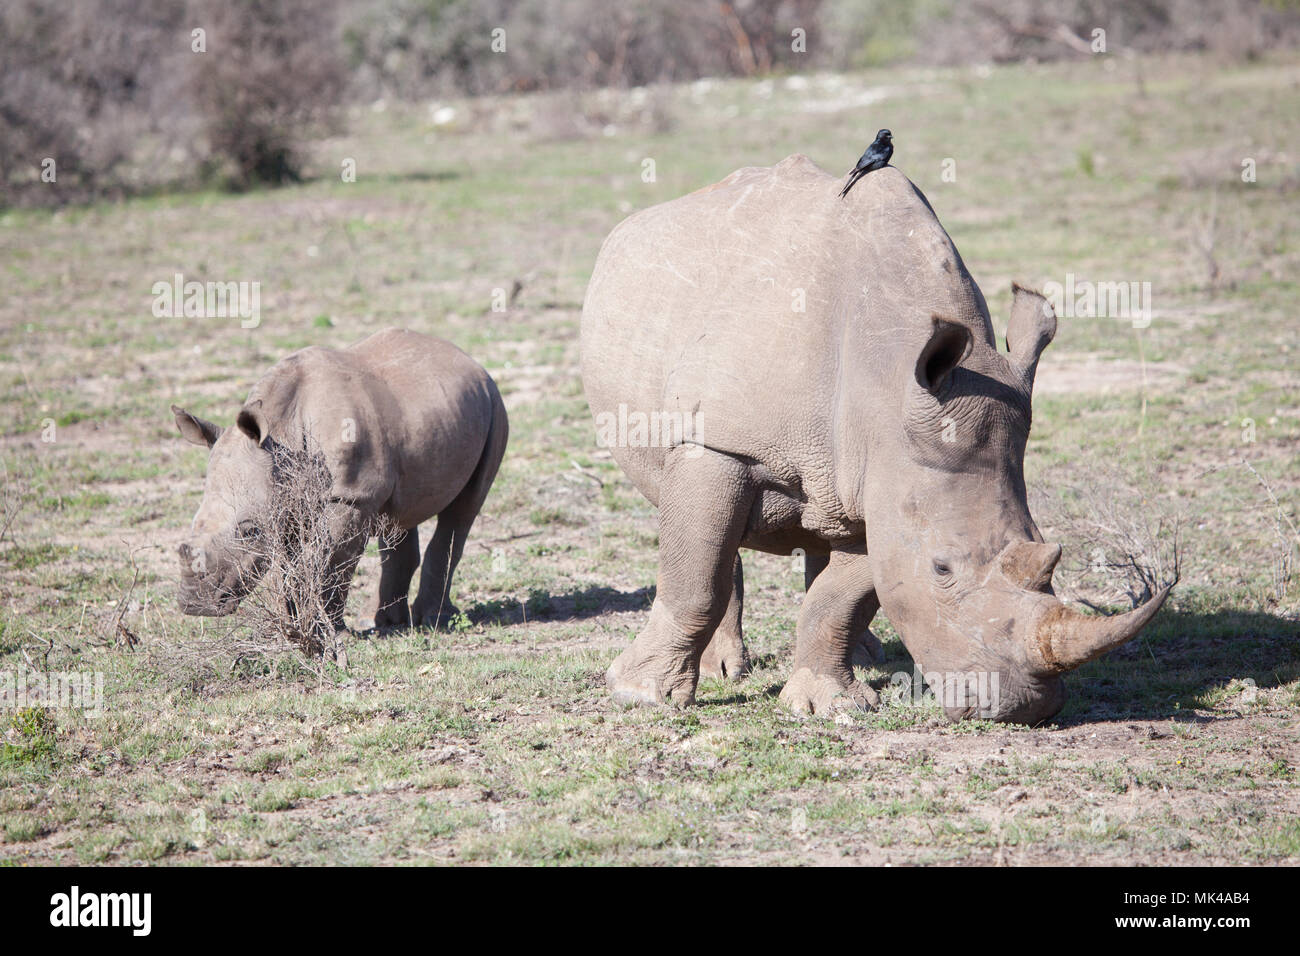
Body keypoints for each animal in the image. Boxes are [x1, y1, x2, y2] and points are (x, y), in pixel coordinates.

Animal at [171, 328, 508, 638]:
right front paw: (296, 629)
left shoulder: (350, 496)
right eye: (195, 522)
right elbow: (292, 568)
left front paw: (330, 632)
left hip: (494, 407)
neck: (281, 433)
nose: (195, 605)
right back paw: (383, 622)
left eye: (250, 531)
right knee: (399, 517)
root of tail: (468, 359)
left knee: (463, 510)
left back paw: (434, 621)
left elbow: (335, 564)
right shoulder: (287, 500)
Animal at [580, 154, 1169, 724]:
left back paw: (866, 658)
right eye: (942, 569)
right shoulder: (719, 443)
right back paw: (726, 671)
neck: (887, 386)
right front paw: (640, 694)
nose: (1025, 708)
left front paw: (829, 706)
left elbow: (844, 597)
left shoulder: (891, 477)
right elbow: (695, 581)